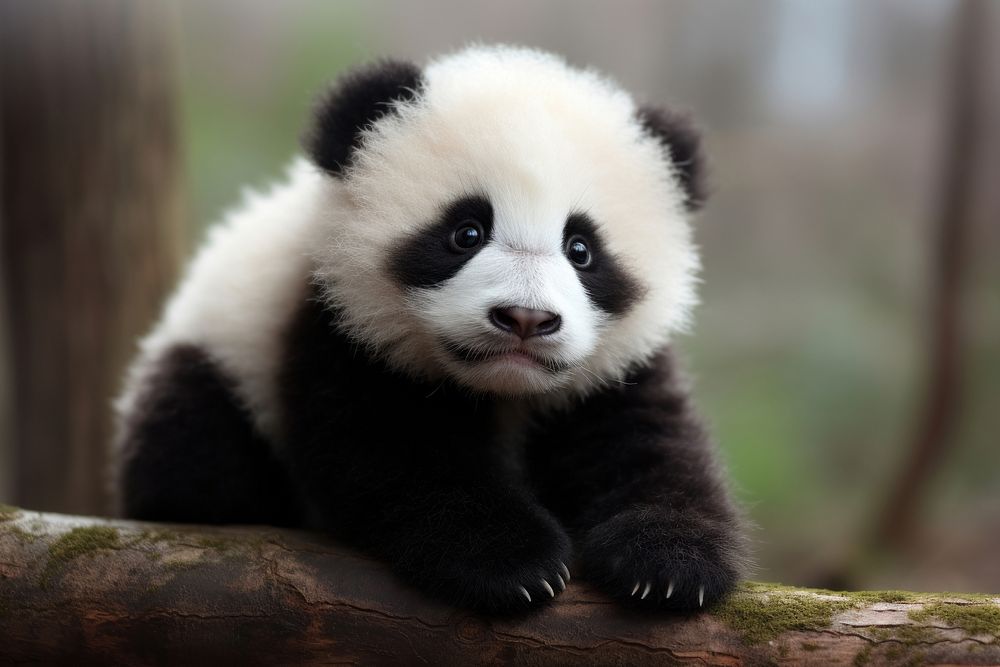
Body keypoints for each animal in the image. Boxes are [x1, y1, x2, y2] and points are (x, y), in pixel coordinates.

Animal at [114, 45, 748, 614]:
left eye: (581, 249)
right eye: (466, 232)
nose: (525, 318)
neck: (503, 388)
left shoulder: (618, 367)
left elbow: (648, 448)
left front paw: (670, 564)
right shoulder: (336, 322)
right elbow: (392, 451)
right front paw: (514, 563)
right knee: (194, 445)